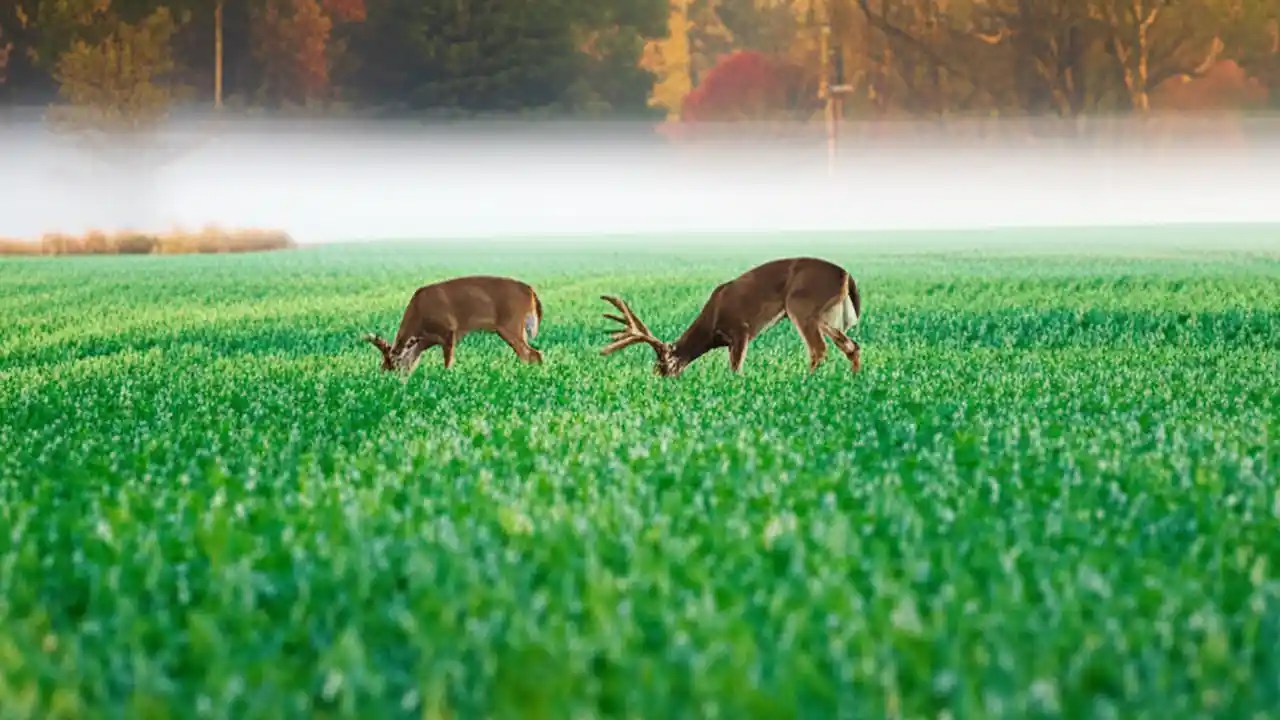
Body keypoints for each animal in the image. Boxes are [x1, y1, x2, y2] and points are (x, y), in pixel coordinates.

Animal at [363, 275, 543, 373]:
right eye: (383, 366)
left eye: (395, 365)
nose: (389, 381)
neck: (419, 311)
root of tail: (530, 291)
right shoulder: (425, 340)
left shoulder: (449, 331)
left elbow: (448, 363)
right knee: (529, 354)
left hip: (511, 325)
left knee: (532, 354)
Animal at [600, 257, 862, 376]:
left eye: (663, 365)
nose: (659, 378)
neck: (711, 327)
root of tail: (846, 275)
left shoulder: (740, 329)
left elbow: (735, 368)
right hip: (824, 314)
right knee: (851, 346)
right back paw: (853, 379)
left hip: (801, 306)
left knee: (819, 349)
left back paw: (807, 380)